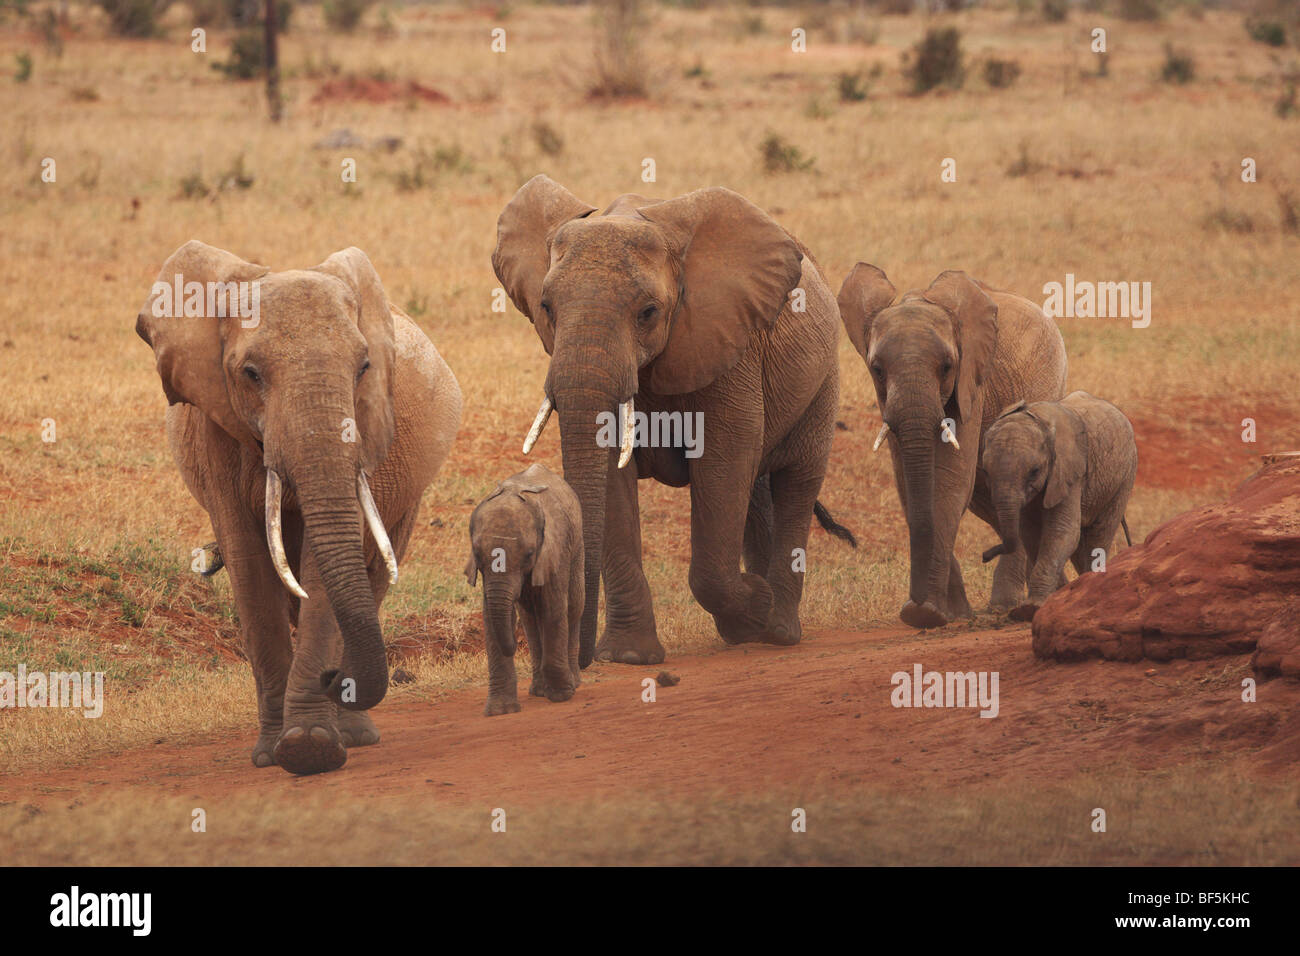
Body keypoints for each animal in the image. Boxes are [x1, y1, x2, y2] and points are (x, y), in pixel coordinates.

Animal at [135, 240, 462, 775]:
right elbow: (249, 566)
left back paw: (353, 733)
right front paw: (274, 754)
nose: (334, 678)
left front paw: (311, 746)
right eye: (250, 374)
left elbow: (321, 569)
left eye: (364, 368)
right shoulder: (215, 428)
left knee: (372, 575)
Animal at [464, 463, 584, 715]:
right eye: (477, 555)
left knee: (574, 606)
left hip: (577, 545)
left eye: (529, 554)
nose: (513, 648)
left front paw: (561, 696)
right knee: (529, 619)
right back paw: (538, 690)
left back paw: (573, 682)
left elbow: (553, 609)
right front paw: (501, 711)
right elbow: (491, 617)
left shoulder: (555, 550)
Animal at [492, 175, 854, 666]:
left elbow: (723, 463)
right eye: (546, 307)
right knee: (757, 492)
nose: (580, 660)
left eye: (648, 312)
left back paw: (777, 629)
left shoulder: (727, 340)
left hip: (822, 379)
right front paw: (629, 657)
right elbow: (613, 479)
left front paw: (754, 608)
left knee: (797, 482)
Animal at [836, 266, 1068, 628]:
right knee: (989, 497)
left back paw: (1007, 606)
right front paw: (948, 614)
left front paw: (926, 614)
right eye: (877, 369)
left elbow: (949, 480)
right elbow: (909, 484)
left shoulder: (973, 381)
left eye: (946, 366)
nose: (913, 605)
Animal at [980, 391, 1137, 621]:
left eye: (1035, 471)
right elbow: (1031, 535)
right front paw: (1055, 599)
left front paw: (1030, 609)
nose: (984, 556)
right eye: (985, 472)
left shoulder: (1070, 471)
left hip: (1124, 476)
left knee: (1099, 533)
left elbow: (1061, 531)